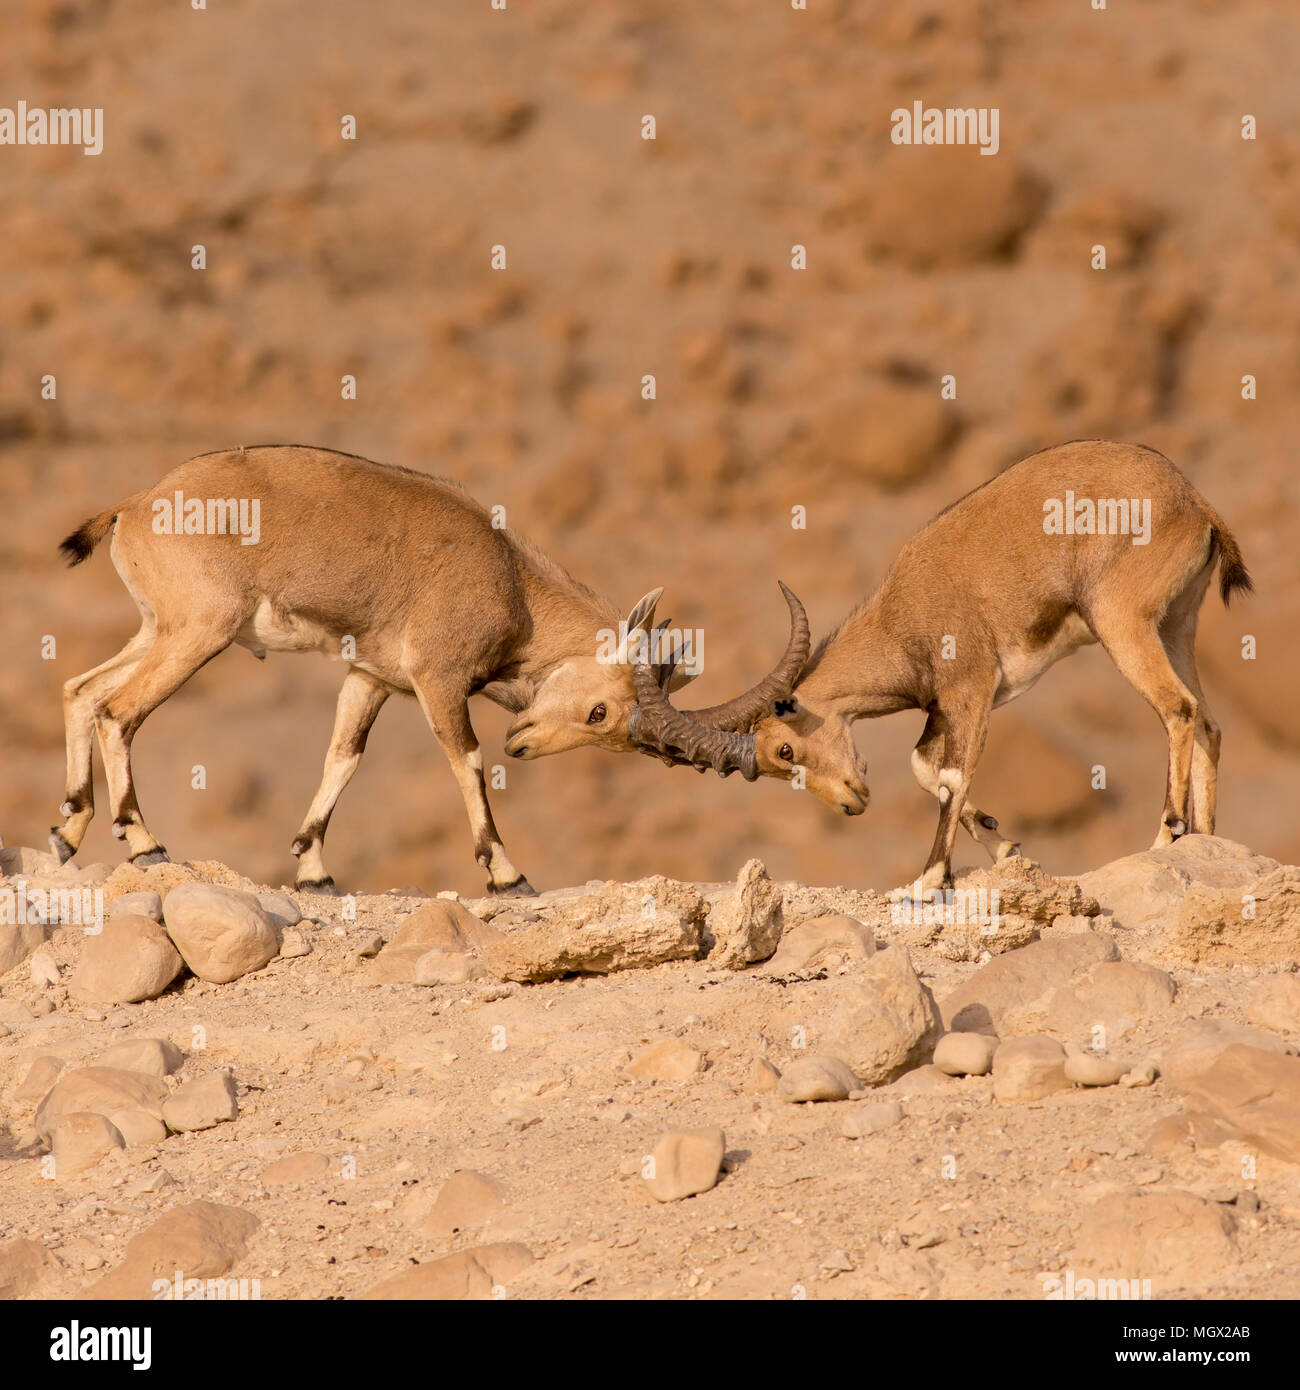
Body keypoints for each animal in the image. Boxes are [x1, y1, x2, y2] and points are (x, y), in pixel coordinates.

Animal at [52, 445, 801, 895]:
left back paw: (68, 830)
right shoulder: (438, 679)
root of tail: (134, 506)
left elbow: (343, 758)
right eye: (601, 712)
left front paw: (315, 871)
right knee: (119, 711)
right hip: (199, 631)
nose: (522, 744)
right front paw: (508, 875)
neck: (509, 579)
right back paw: (143, 843)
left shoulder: (373, 678)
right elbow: (465, 760)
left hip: (160, 627)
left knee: (81, 690)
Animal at [630, 441, 1253, 891]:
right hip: (1175, 627)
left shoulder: (970, 688)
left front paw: (928, 880)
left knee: (1177, 709)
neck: (901, 617)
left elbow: (952, 775)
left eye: (784, 749)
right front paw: (1004, 844)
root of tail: (1194, 502)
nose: (850, 804)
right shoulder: (945, 708)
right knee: (1209, 723)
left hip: (1122, 624)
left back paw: (1165, 839)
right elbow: (923, 767)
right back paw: (1205, 841)